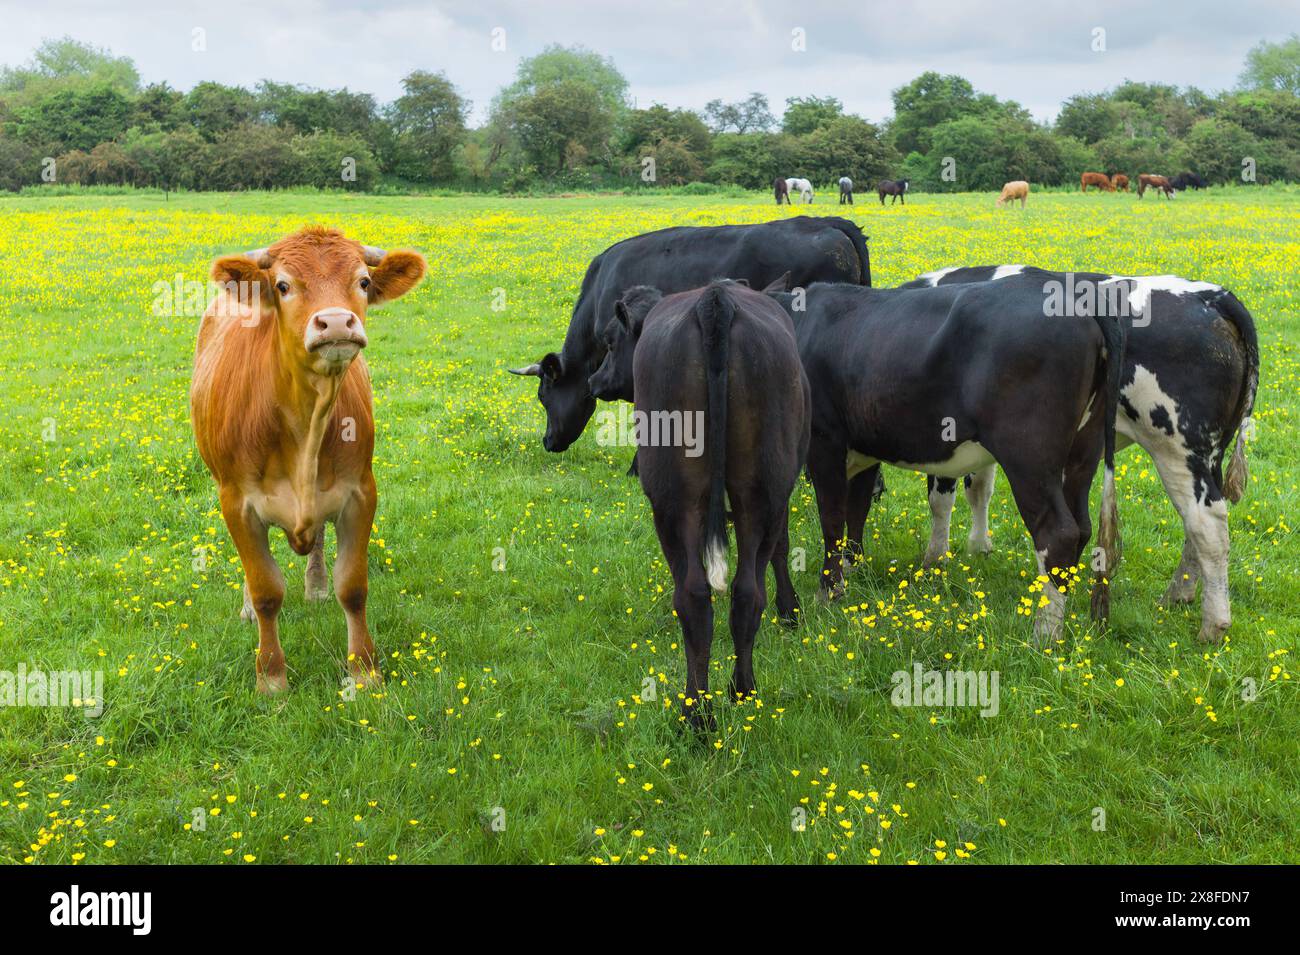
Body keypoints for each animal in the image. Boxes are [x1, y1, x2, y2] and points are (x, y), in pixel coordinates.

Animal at [190, 227, 427, 691]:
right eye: (283, 285)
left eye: (363, 282)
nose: (335, 322)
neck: (305, 424)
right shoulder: (236, 501)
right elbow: (265, 588)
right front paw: (271, 678)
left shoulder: (360, 492)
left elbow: (353, 587)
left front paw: (364, 672)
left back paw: (316, 585)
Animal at [591, 280, 809, 728]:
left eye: (611, 341)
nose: (594, 381)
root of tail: (715, 298)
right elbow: (782, 548)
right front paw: (790, 611)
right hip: (759, 494)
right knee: (744, 588)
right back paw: (739, 693)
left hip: (677, 498)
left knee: (699, 594)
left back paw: (698, 713)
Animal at [768, 278, 1126, 644]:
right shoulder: (863, 449)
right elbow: (856, 511)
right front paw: (853, 568)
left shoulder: (825, 440)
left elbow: (832, 519)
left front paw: (829, 589)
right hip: (1083, 452)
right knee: (1082, 528)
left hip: (1029, 456)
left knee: (1058, 532)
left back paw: (1044, 633)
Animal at [903, 265, 1258, 644]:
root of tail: (1212, 296)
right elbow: (980, 490)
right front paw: (979, 546)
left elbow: (941, 500)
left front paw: (934, 562)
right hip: (1208, 454)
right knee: (1198, 521)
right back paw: (1179, 594)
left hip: (1177, 448)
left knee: (1207, 525)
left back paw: (1212, 626)